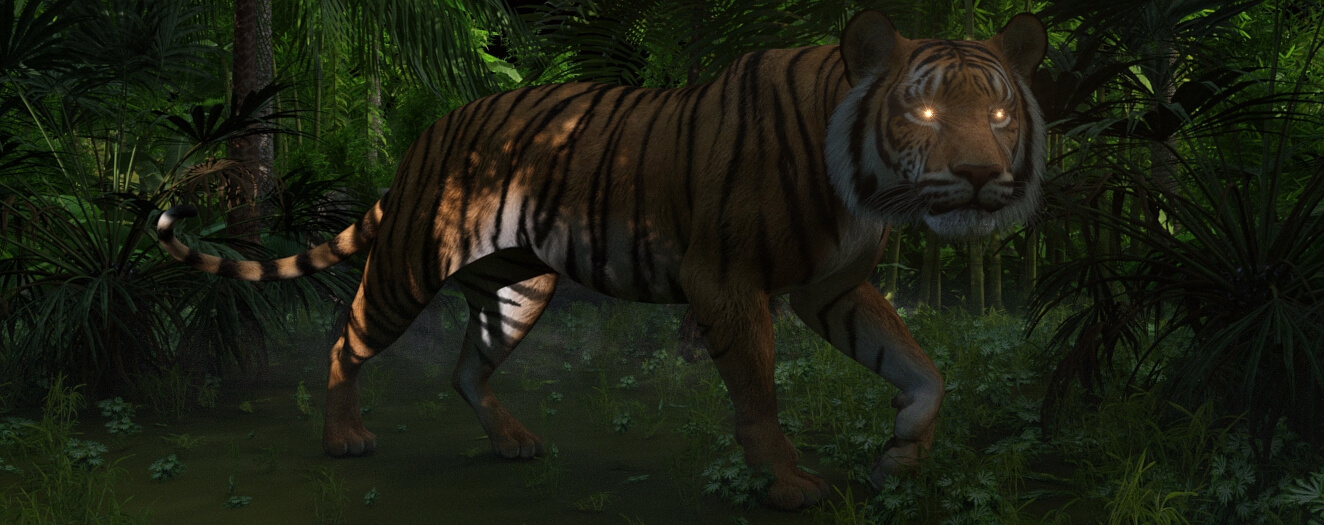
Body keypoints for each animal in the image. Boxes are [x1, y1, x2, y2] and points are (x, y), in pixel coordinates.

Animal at [156, 10, 1046, 510]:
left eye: (1001, 113)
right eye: (922, 112)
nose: (980, 174)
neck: (862, 184)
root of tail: (426, 135)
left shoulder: (832, 286)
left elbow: (923, 370)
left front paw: (900, 458)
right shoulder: (728, 284)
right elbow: (759, 396)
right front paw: (790, 486)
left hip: (518, 287)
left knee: (468, 366)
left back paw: (514, 440)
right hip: (410, 262)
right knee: (348, 337)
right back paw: (346, 437)